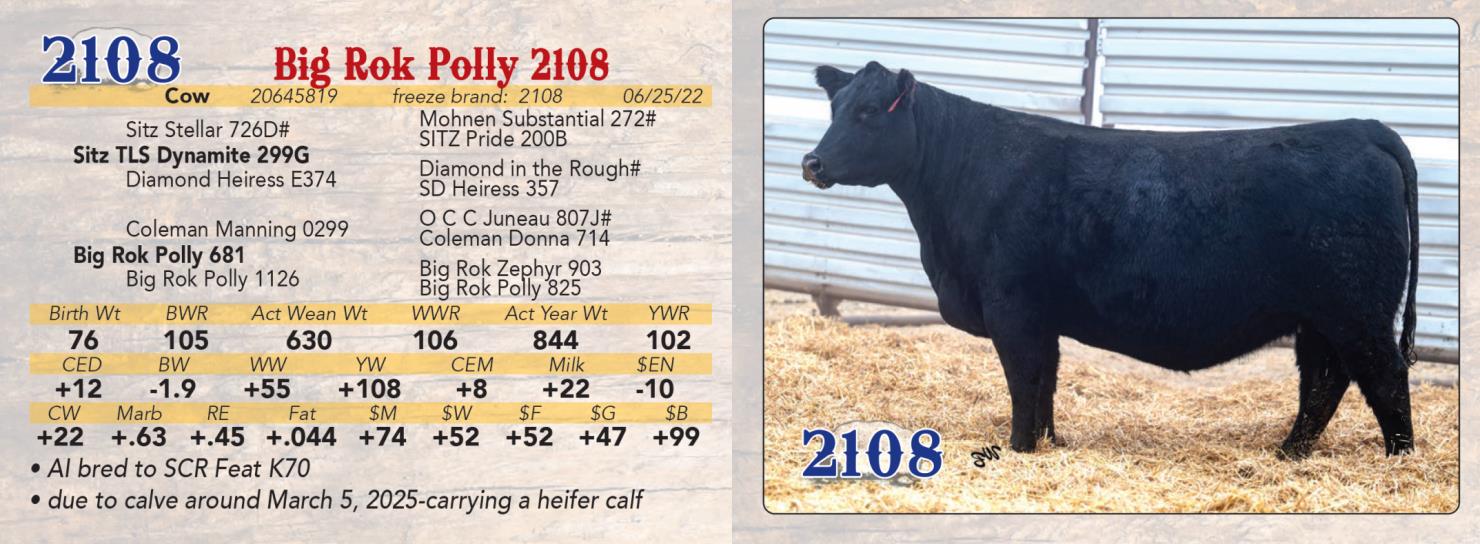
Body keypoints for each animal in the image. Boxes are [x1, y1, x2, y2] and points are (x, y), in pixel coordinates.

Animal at [800, 61, 1420, 459]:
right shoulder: (1040, 316)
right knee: (1324, 381)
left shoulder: (1011, 307)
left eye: (869, 111)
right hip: (1319, 318)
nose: (812, 162)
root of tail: (1363, 127)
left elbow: (1023, 381)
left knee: (1383, 378)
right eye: (834, 106)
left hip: (1356, 313)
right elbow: (1046, 382)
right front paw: (1048, 444)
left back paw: (1401, 459)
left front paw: (1018, 448)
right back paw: (1289, 453)